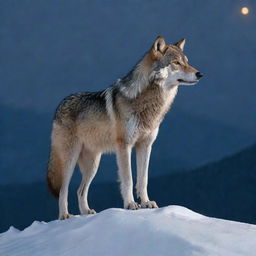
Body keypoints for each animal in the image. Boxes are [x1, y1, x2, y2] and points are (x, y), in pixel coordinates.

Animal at [45, 36, 202, 220]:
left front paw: (146, 203)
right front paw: (130, 204)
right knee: (63, 190)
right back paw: (65, 215)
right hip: (70, 160)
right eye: (176, 63)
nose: (200, 74)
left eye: (187, 62)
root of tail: (59, 106)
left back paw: (86, 213)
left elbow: (143, 179)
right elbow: (128, 179)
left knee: (80, 190)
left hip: (93, 165)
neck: (147, 105)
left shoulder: (145, 145)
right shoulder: (124, 146)